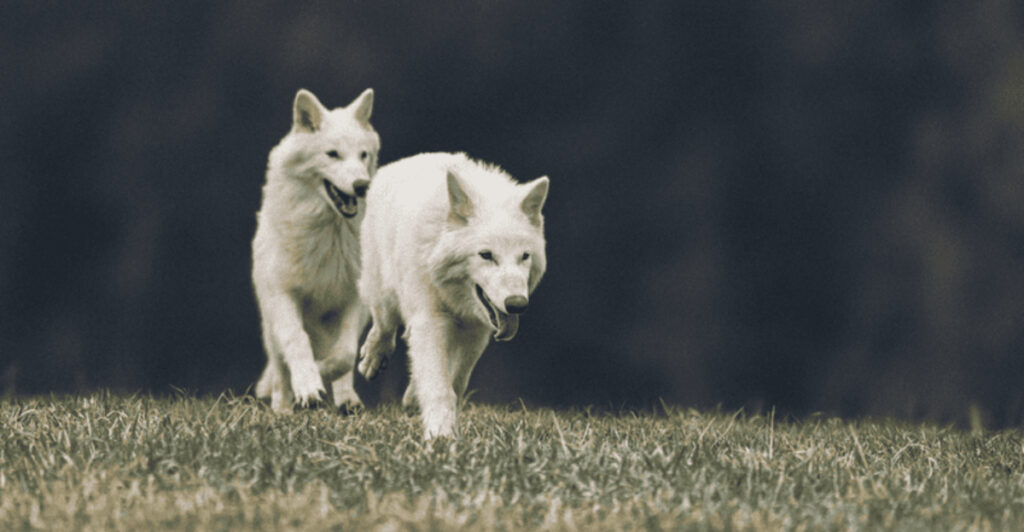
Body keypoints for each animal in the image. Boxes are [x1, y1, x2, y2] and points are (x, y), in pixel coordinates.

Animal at [252, 88, 380, 412]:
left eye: (363, 155)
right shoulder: (283, 295)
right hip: (270, 323)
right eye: (332, 154)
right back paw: (283, 407)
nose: (362, 185)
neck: (328, 233)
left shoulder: (353, 299)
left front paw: (321, 373)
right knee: (280, 369)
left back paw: (347, 402)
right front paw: (308, 387)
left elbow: (345, 354)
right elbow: (297, 342)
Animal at [357, 152, 549, 439]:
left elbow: (455, 383)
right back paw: (373, 357)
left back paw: (412, 395)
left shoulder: (476, 332)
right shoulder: (430, 320)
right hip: (384, 291)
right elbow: (439, 386)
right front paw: (440, 436)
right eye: (486, 255)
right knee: (384, 324)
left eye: (524, 256)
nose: (517, 304)